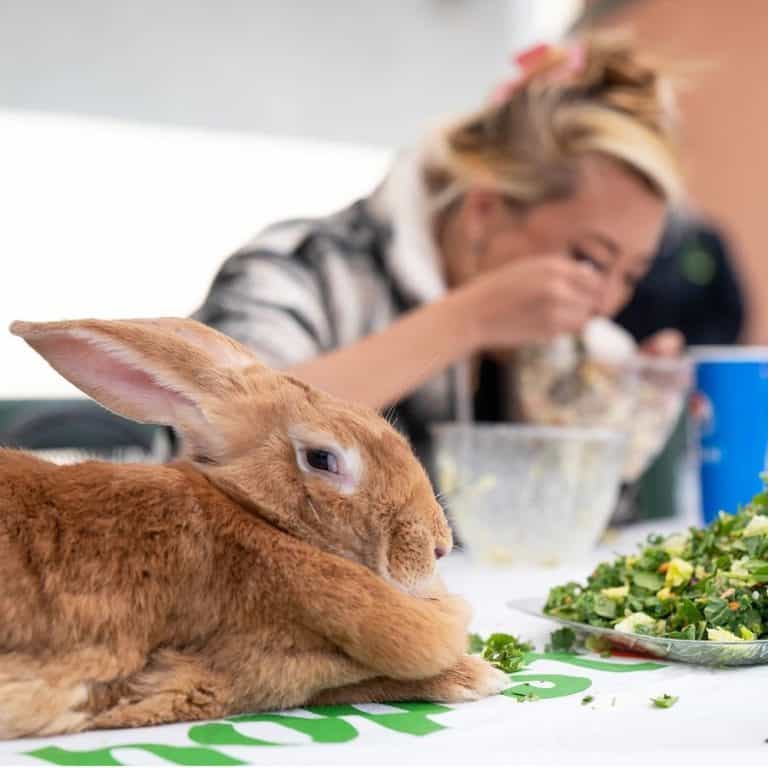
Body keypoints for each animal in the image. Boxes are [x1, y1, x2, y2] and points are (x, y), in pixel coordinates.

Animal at [0, 317, 508, 739]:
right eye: (322, 459)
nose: (440, 546)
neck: (258, 519)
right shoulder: (255, 671)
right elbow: (365, 681)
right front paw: (481, 677)